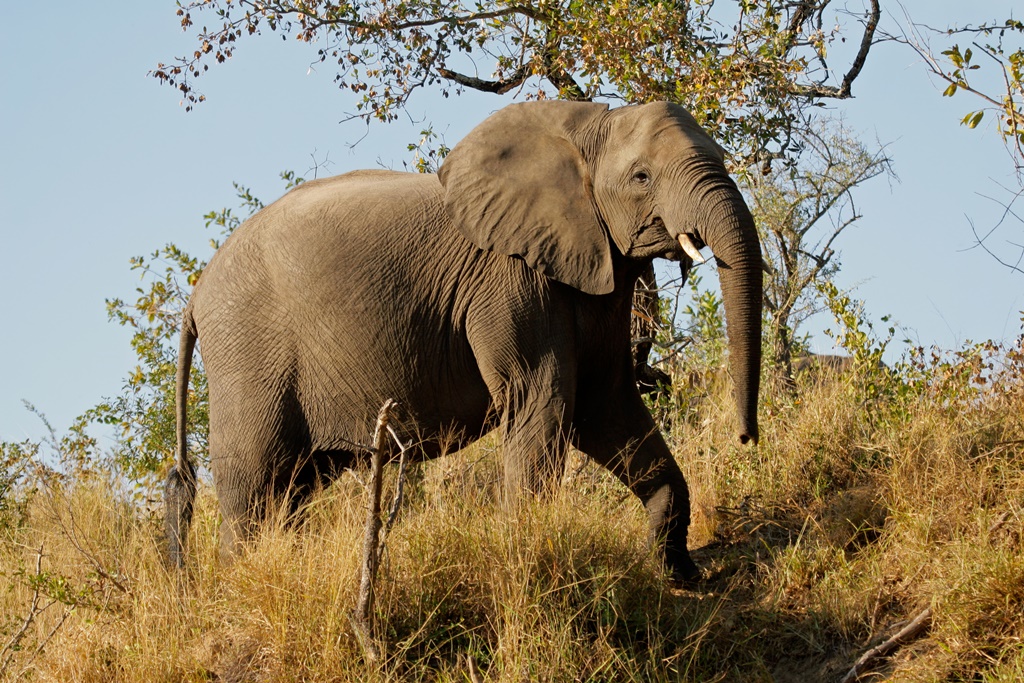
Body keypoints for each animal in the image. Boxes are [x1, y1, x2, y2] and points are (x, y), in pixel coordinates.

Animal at [166, 100, 763, 583]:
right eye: (642, 176)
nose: (745, 437)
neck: (585, 128)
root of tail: (195, 295)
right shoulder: (511, 277)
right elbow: (544, 398)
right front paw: (529, 556)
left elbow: (606, 403)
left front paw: (683, 578)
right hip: (247, 352)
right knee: (254, 487)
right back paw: (243, 584)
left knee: (290, 490)